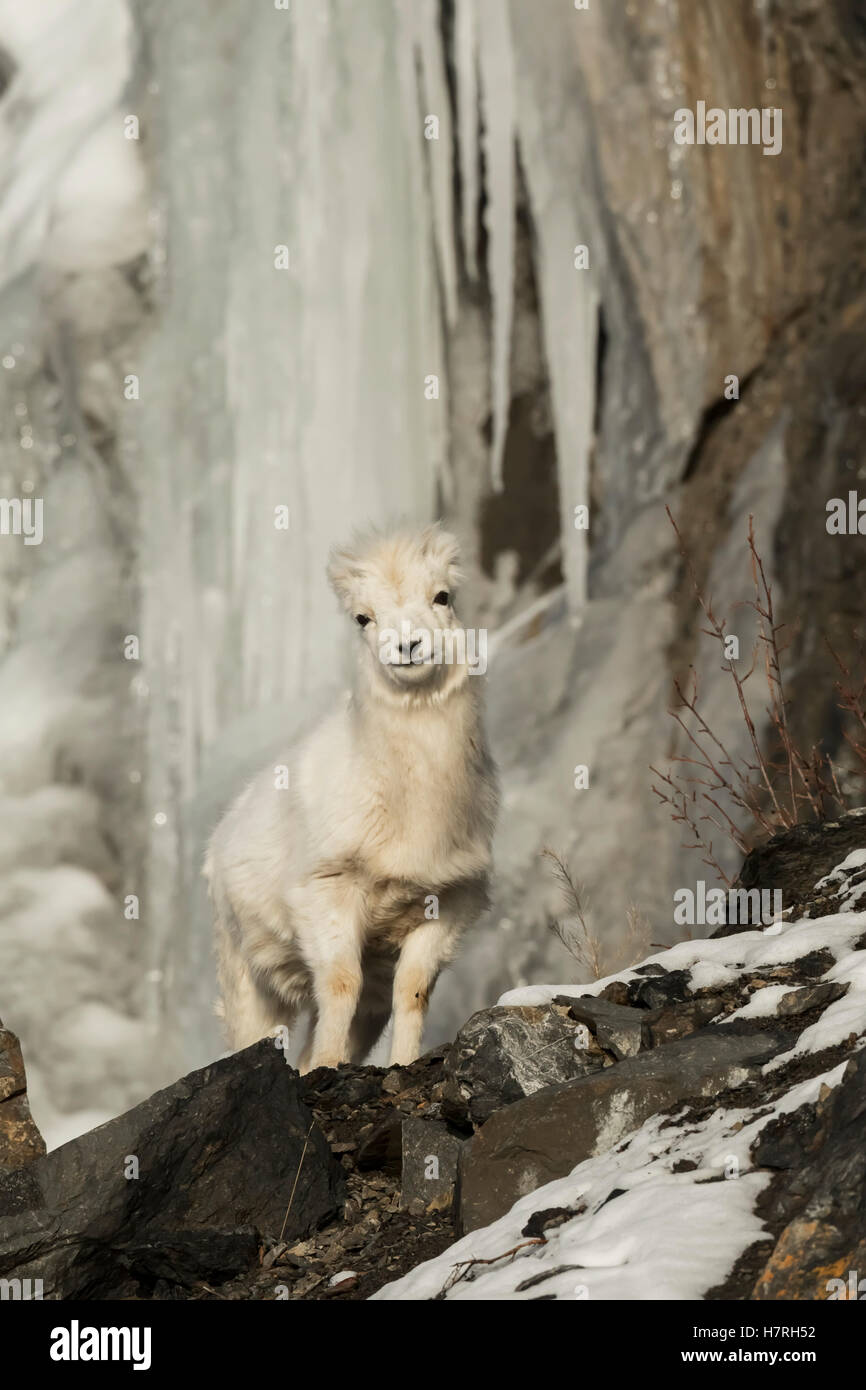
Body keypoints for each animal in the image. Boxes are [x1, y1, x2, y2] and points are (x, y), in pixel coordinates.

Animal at [205, 524, 498, 1071]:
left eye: (442, 596)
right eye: (363, 617)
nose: (408, 645)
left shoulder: (445, 907)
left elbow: (414, 992)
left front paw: (401, 1063)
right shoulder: (329, 896)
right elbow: (340, 984)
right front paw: (324, 1071)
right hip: (249, 979)